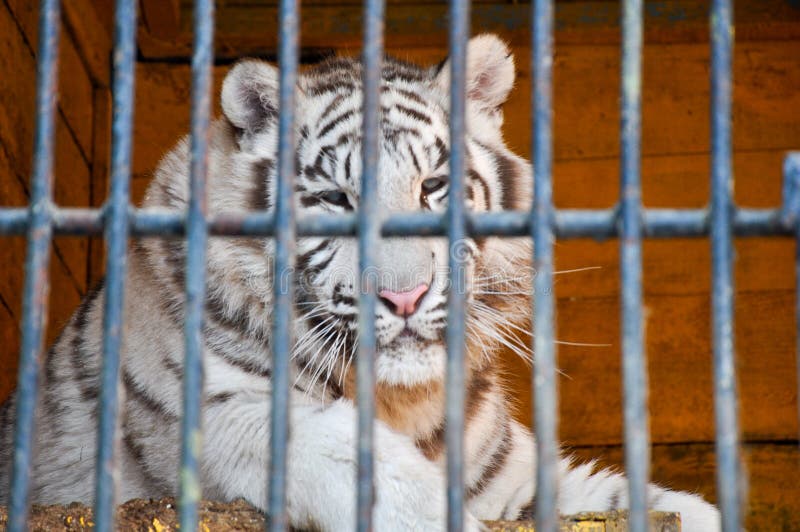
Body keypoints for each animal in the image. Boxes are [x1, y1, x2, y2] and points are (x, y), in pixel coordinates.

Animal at [0, 34, 720, 530]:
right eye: (335, 199)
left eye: (433, 187)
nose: (403, 297)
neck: (408, 400)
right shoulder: (220, 414)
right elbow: (366, 462)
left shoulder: (502, 472)